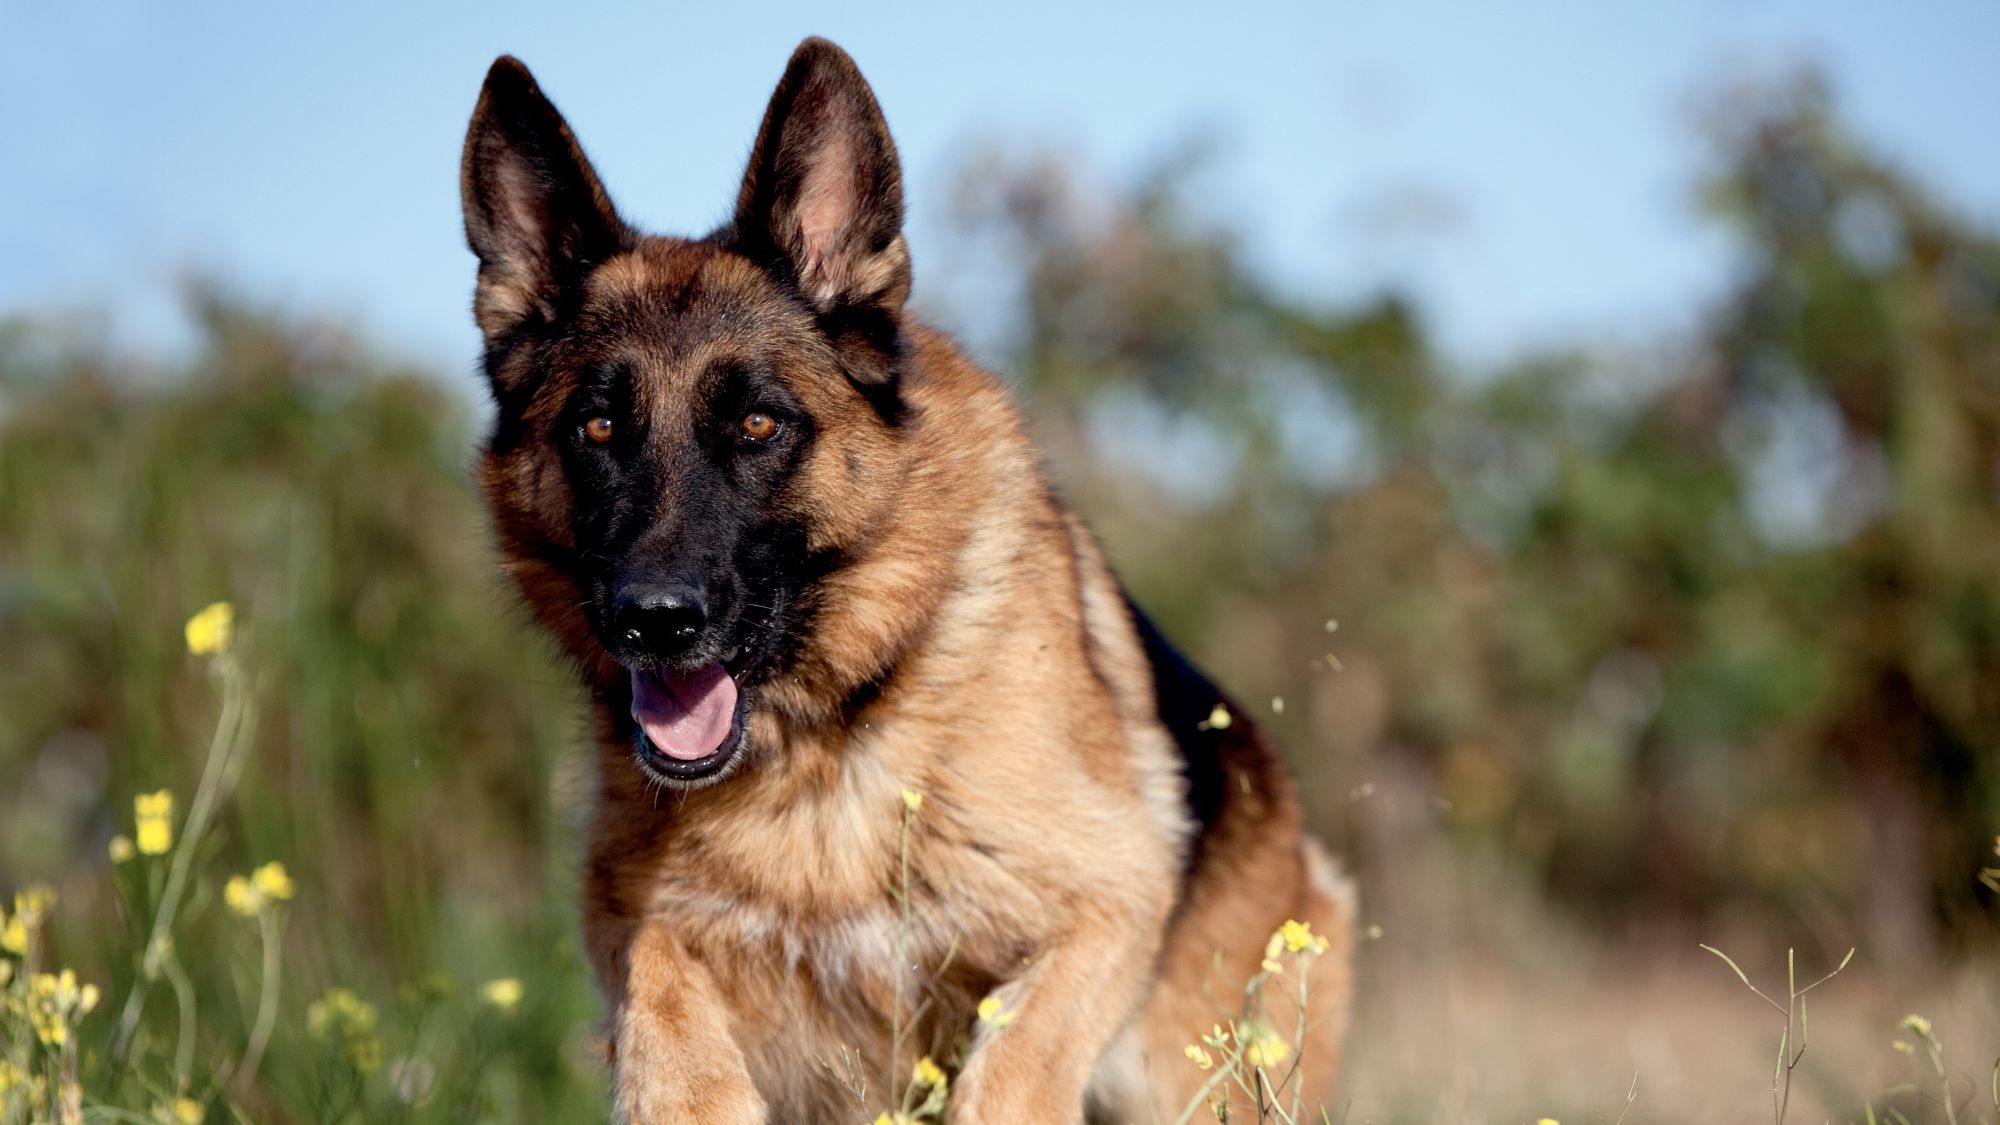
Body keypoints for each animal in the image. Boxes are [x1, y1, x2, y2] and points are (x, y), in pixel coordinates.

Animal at [460, 37, 1352, 1120]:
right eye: (596, 427)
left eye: (758, 422)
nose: (655, 621)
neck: (827, 742)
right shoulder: (637, 921)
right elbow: (662, 998)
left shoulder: (1107, 903)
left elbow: (1009, 1070)